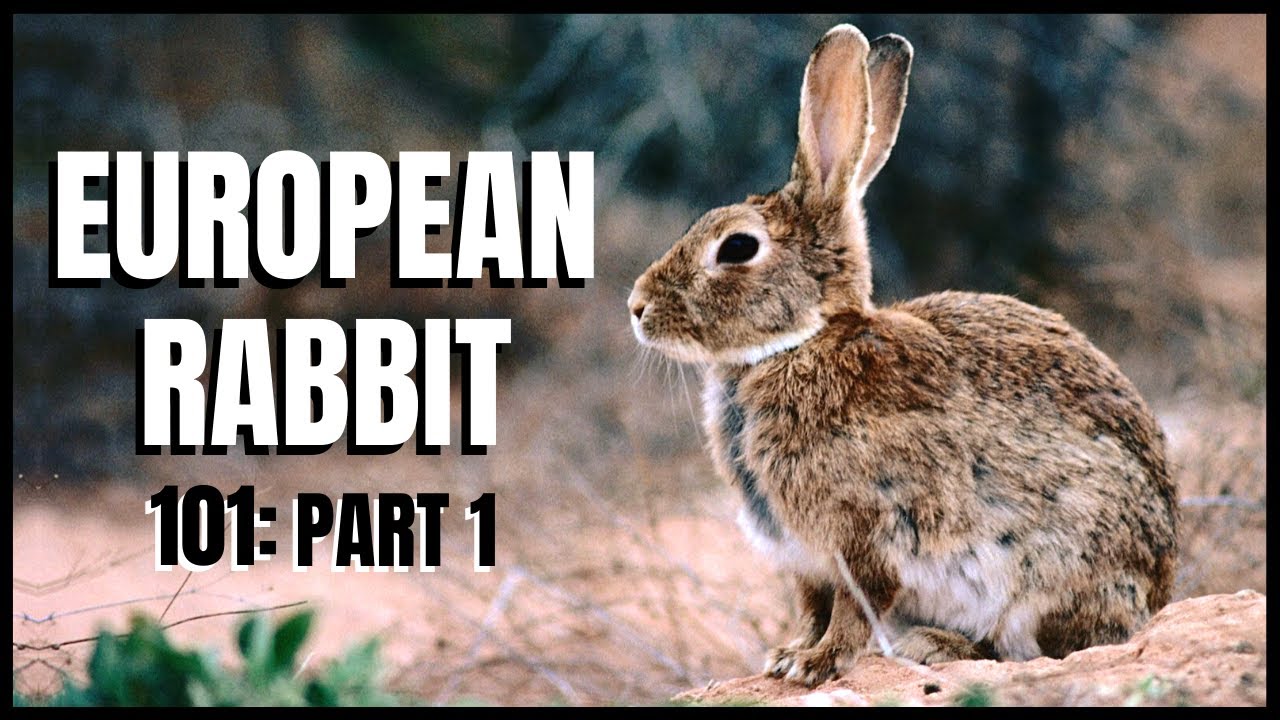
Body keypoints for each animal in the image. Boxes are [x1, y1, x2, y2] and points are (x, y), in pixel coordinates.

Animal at [627, 24, 1177, 687]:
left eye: (737, 247)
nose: (636, 306)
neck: (801, 343)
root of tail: (1156, 596)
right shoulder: (806, 559)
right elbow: (813, 606)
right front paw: (786, 656)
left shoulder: (868, 534)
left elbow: (855, 606)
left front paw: (817, 665)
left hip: (1045, 576)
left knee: (1034, 647)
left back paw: (935, 645)